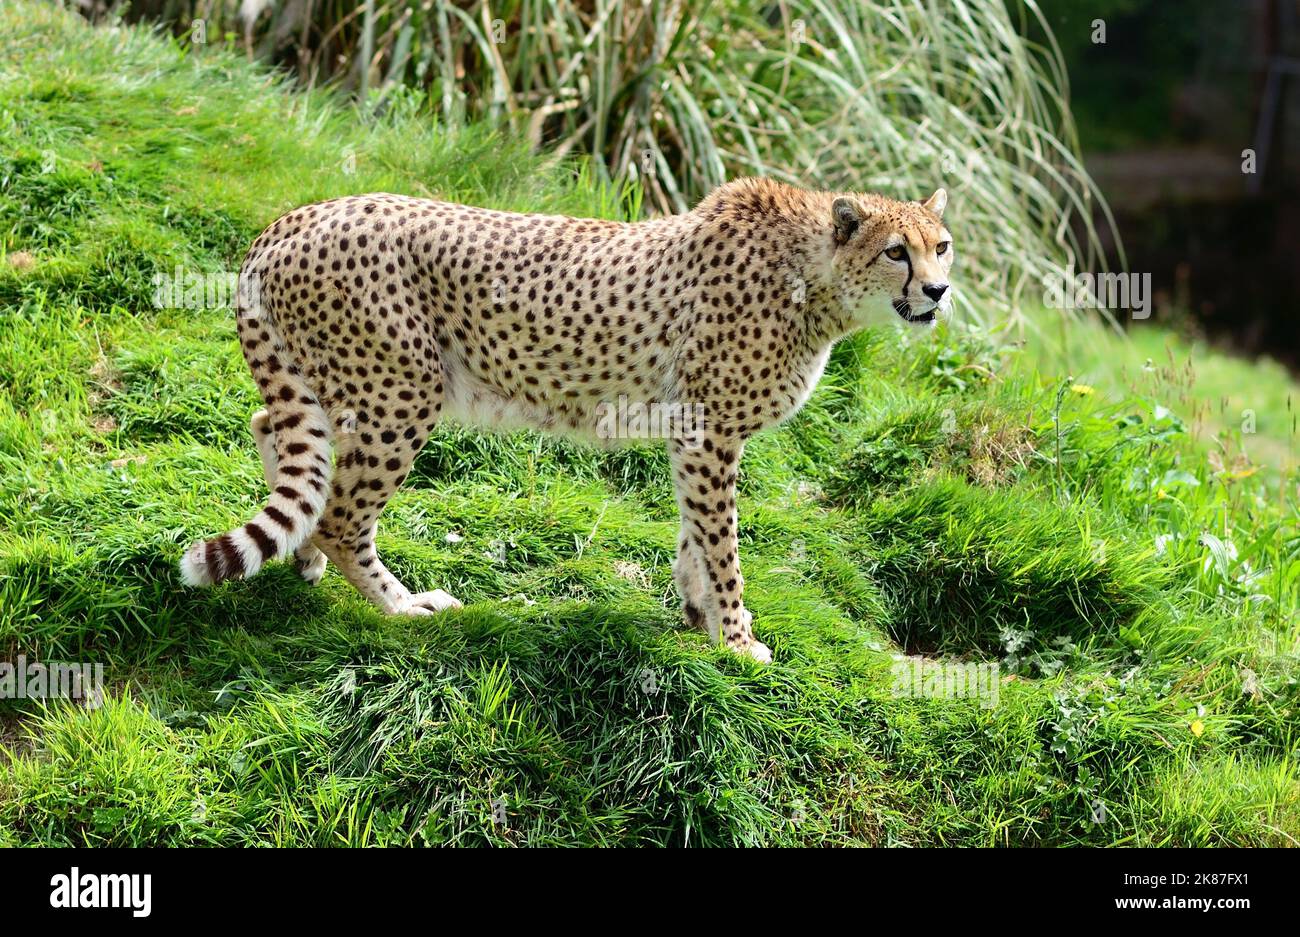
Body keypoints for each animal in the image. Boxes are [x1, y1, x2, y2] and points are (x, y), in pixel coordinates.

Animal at [179, 177, 955, 662]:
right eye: (896, 251)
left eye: (941, 246)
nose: (939, 291)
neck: (816, 279)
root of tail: (296, 217)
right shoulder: (711, 430)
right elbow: (724, 546)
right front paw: (738, 641)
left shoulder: (691, 434)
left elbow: (693, 534)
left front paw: (695, 615)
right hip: (403, 391)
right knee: (343, 515)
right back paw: (400, 605)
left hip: (336, 386)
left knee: (275, 433)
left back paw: (303, 553)